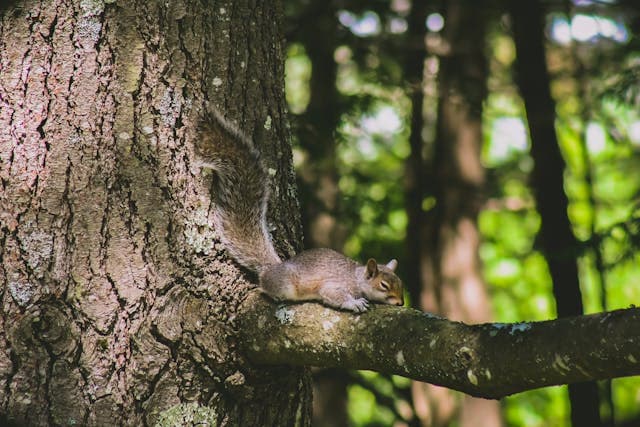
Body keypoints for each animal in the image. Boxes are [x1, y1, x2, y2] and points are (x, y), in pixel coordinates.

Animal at [194, 111, 404, 313]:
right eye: (384, 285)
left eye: (400, 283)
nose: (401, 303)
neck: (357, 279)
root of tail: (271, 268)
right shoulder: (334, 285)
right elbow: (334, 295)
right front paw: (354, 303)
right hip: (284, 284)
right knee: (263, 287)